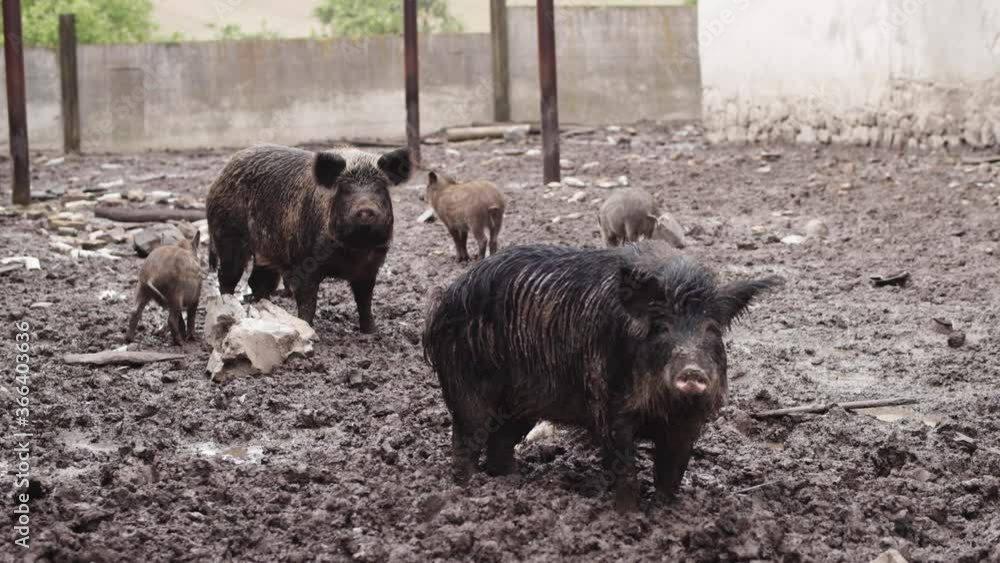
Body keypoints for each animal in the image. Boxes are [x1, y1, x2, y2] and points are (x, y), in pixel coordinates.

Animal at [206, 144, 411, 332]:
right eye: (345, 189)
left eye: (380, 188)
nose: (365, 209)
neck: (354, 249)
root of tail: (220, 176)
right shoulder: (304, 260)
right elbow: (307, 301)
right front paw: (307, 329)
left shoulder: (370, 267)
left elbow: (365, 300)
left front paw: (372, 332)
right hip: (228, 236)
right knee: (227, 277)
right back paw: (228, 308)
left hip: (267, 252)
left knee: (257, 281)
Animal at [423, 241, 780, 512]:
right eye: (661, 328)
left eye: (711, 330)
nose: (692, 372)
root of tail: (447, 297)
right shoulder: (607, 405)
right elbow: (624, 466)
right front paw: (629, 514)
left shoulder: (687, 422)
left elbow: (672, 469)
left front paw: (666, 512)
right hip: (466, 385)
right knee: (465, 440)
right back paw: (471, 489)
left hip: (520, 404)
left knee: (500, 444)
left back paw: (514, 481)